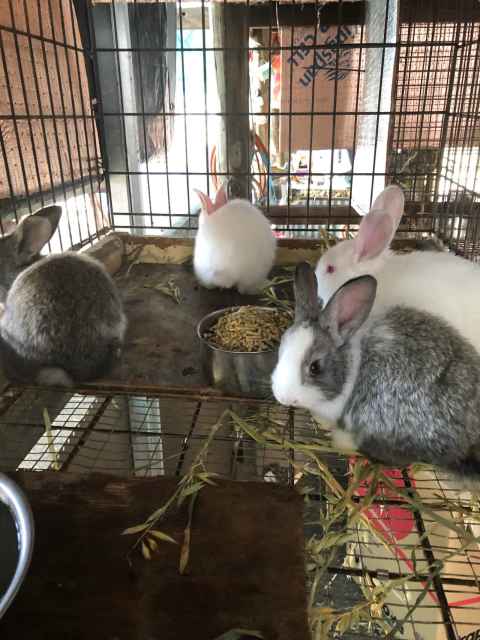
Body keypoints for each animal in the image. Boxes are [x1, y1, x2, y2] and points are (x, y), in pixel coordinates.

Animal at [271, 262, 480, 480]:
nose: (283, 398)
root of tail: (466, 439)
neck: (348, 364)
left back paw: (341, 440)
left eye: (315, 367)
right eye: (280, 350)